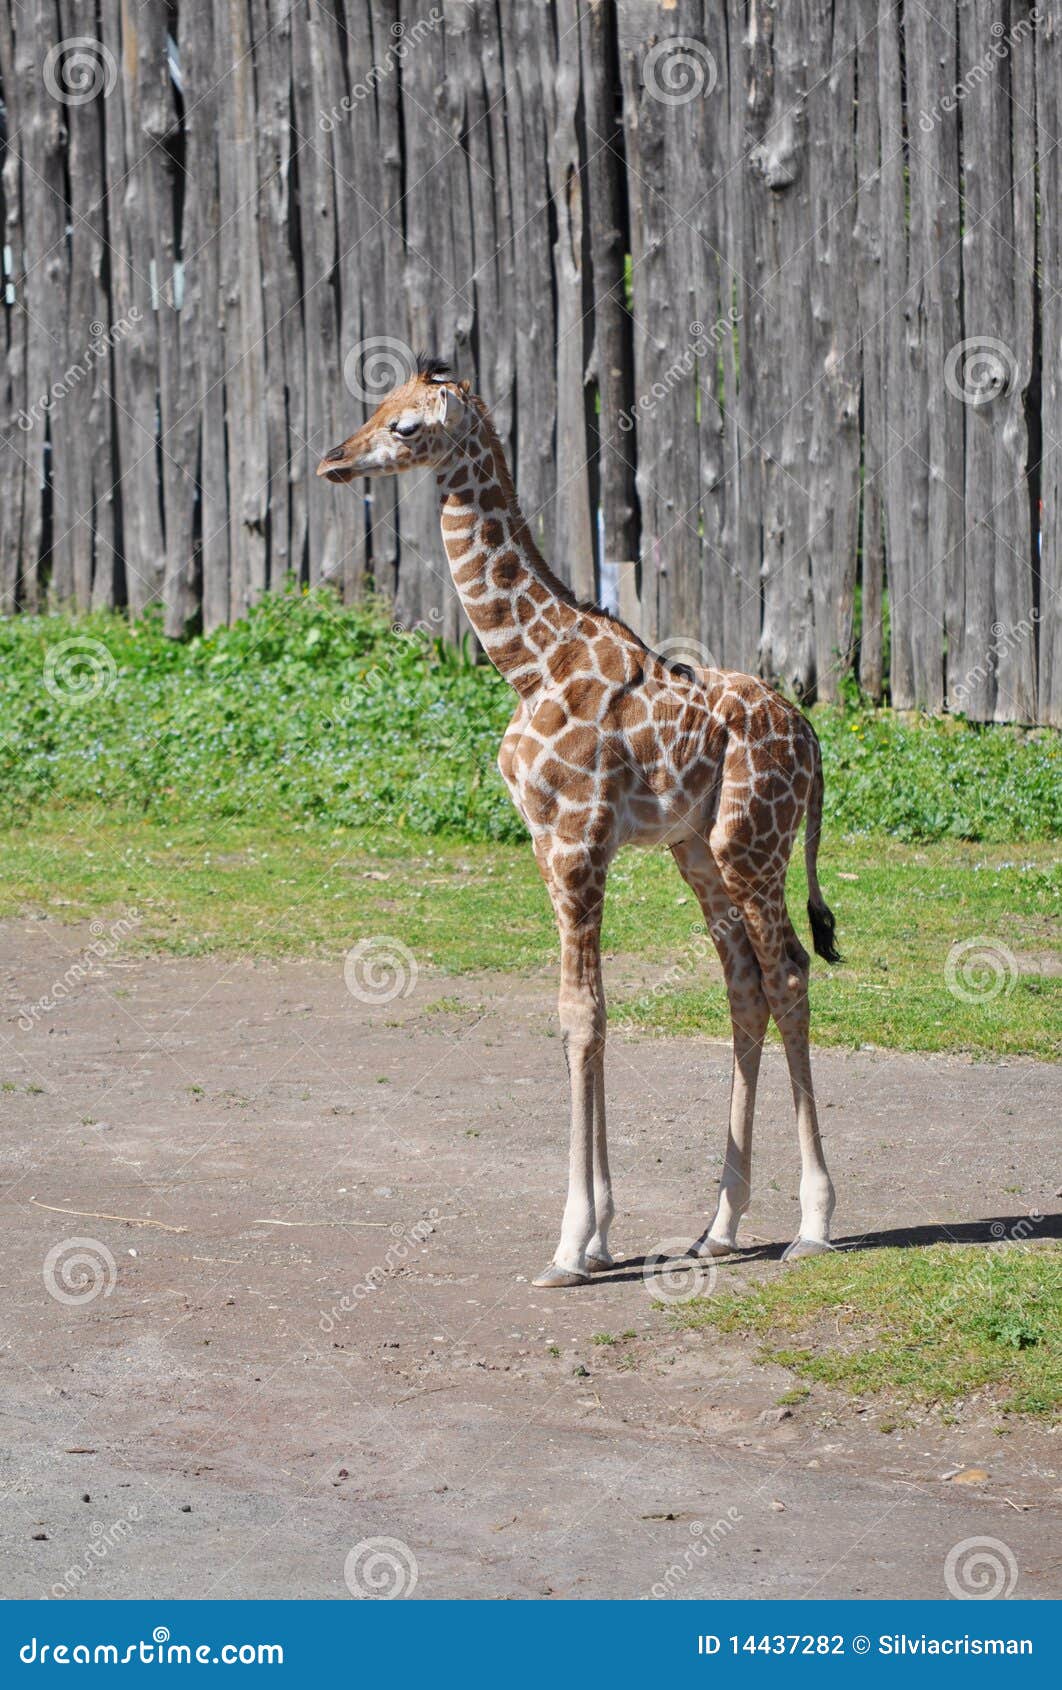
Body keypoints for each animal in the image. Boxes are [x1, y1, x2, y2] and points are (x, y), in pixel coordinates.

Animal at [318, 356, 841, 1287]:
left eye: (406, 426)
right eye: (376, 407)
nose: (332, 461)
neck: (528, 662)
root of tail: (812, 738)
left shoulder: (576, 842)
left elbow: (581, 1013)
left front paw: (570, 1244)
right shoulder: (549, 842)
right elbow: (589, 1013)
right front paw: (600, 1238)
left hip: (754, 844)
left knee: (787, 975)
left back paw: (815, 1222)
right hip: (698, 856)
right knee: (745, 988)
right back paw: (718, 1228)